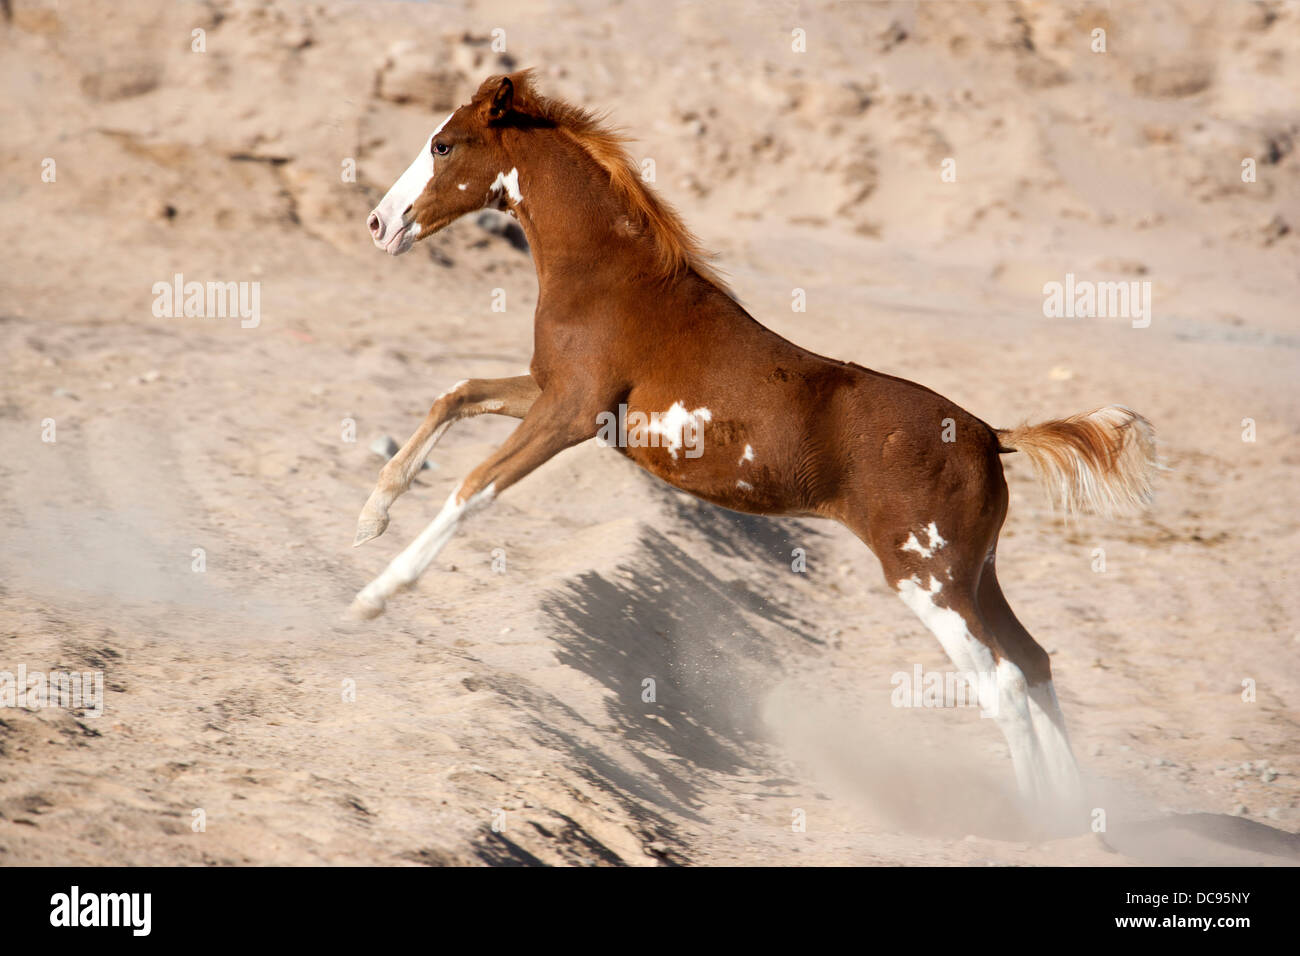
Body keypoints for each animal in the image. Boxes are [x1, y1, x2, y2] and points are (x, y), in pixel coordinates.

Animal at [354, 71, 1158, 811]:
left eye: (443, 145)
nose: (378, 224)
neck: (613, 280)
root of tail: (991, 436)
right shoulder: (545, 392)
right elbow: (454, 395)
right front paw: (369, 517)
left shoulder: (569, 413)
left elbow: (471, 488)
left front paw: (372, 597)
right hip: (976, 576)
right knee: (1037, 662)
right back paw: (1082, 820)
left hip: (926, 579)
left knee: (1004, 683)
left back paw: (1041, 823)